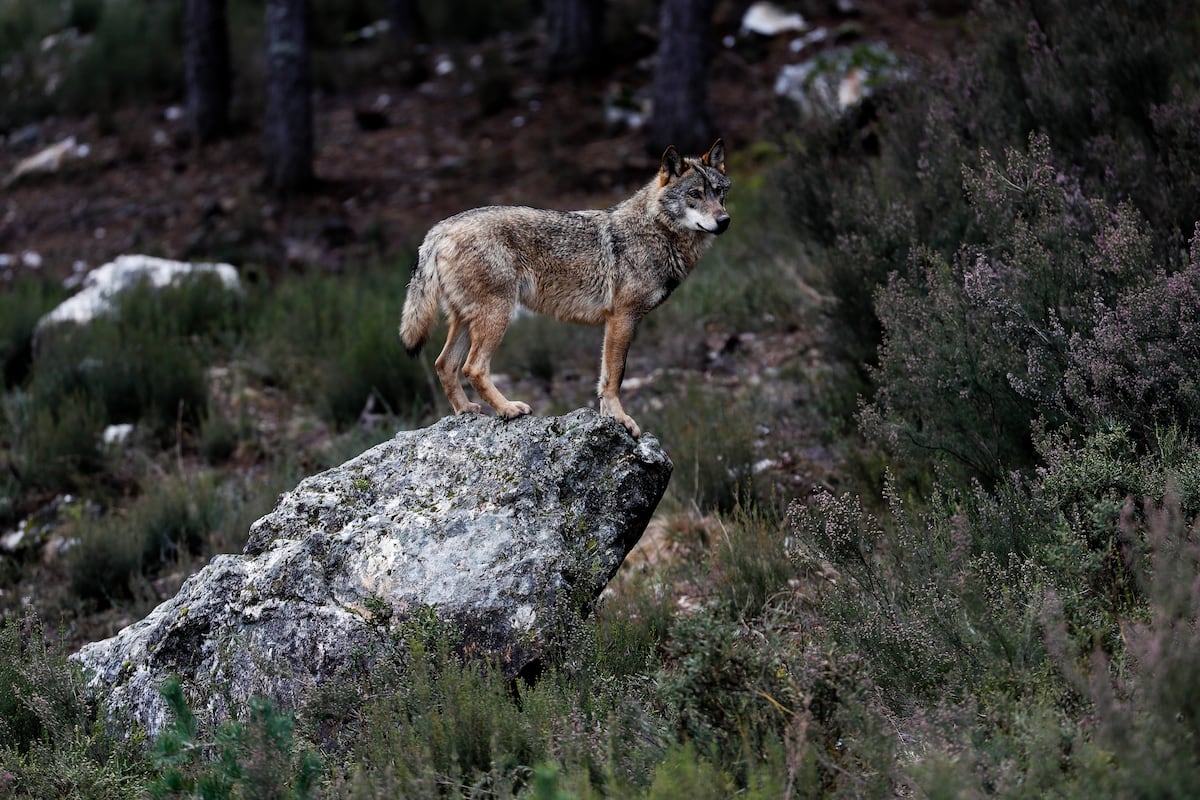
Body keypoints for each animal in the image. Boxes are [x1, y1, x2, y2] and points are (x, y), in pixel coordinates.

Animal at [400, 139, 730, 438]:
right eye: (694, 194)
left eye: (720, 193)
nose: (725, 221)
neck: (656, 231)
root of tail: (439, 229)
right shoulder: (622, 318)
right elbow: (615, 377)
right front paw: (622, 420)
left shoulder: (616, 322)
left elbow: (606, 377)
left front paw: (608, 420)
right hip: (496, 316)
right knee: (473, 368)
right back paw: (508, 409)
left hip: (467, 321)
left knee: (444, 364)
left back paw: (465, 412)